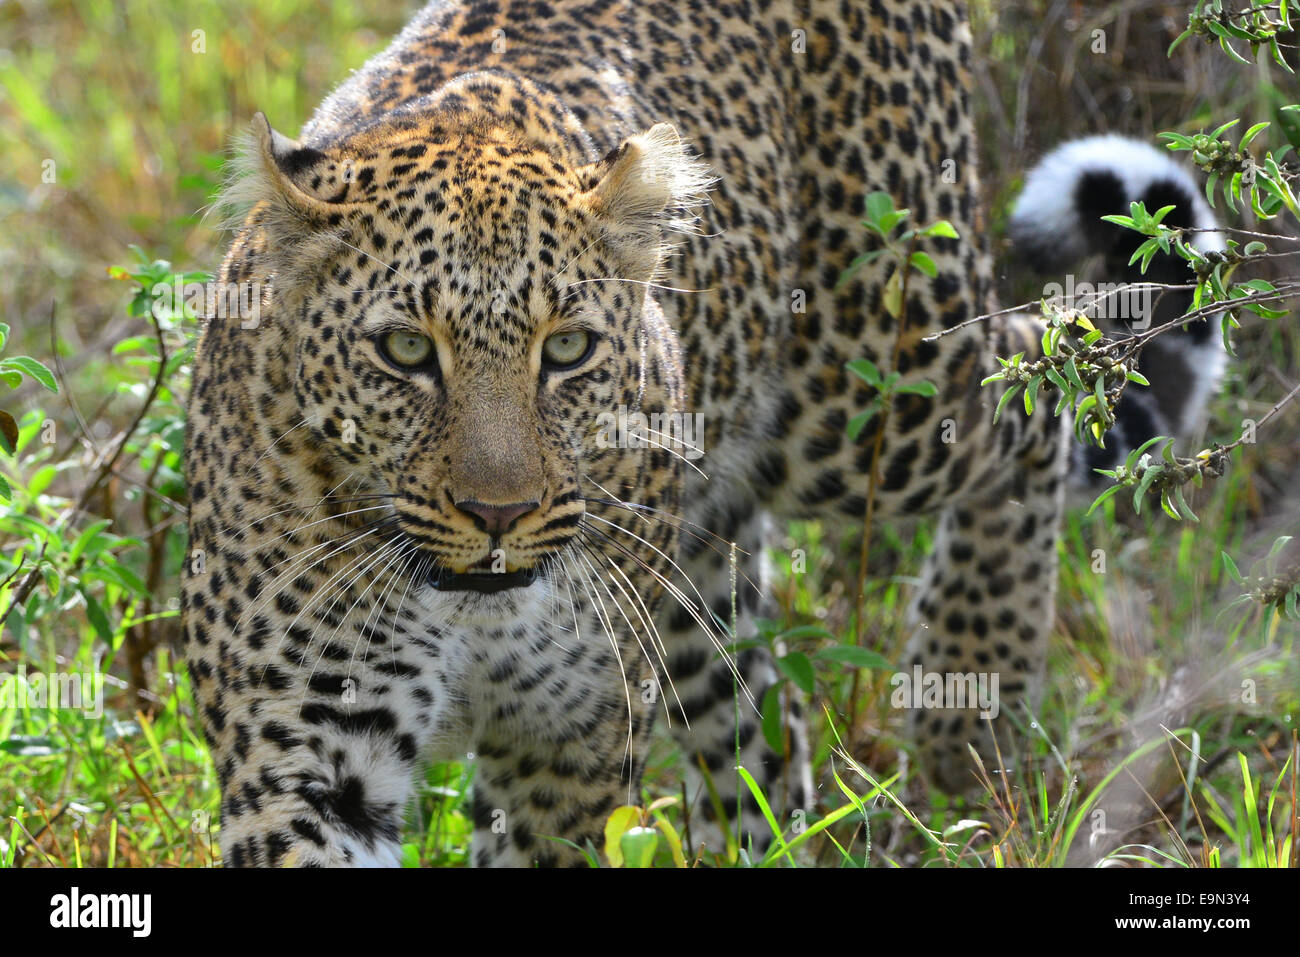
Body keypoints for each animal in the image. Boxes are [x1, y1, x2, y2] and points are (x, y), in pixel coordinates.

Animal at [183, 0, 1224, 866]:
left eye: (567, 349)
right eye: (405, 349)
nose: (498, 514)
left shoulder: (569, 739)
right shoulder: (303, 743)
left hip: (871, 384)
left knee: (1038, 380)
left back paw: (967, 706)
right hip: (702, 567)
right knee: (766, 734)